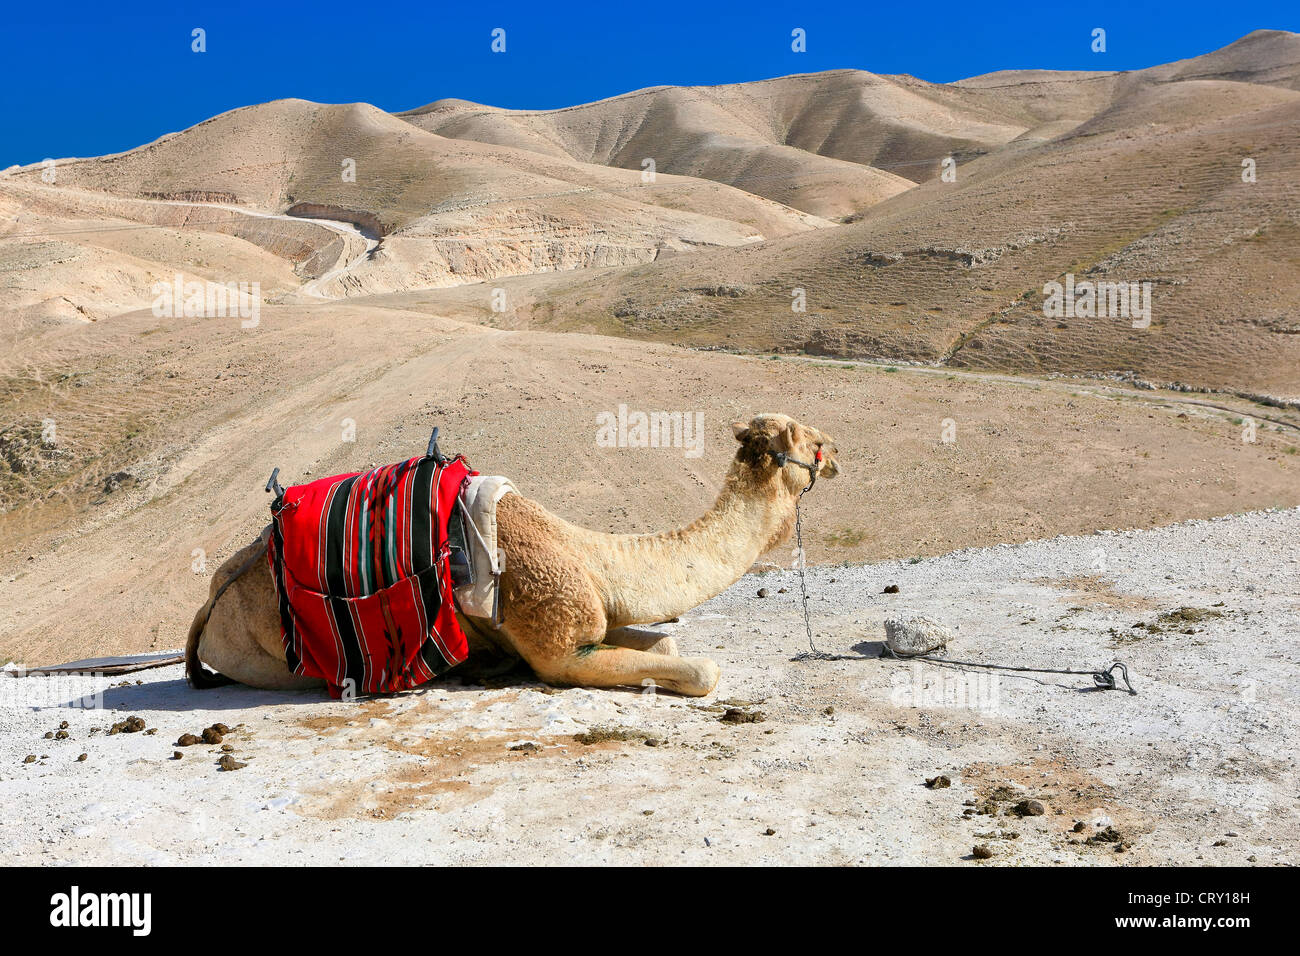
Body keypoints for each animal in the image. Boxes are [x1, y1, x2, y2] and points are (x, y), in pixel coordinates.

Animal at [186, 413, 840, 697]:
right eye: (813, 440)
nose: (839, 453)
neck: (591, 555)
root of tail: (210, 602)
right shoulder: (560, 649)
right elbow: (701, 671)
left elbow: (667, 643)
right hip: (265, 658)